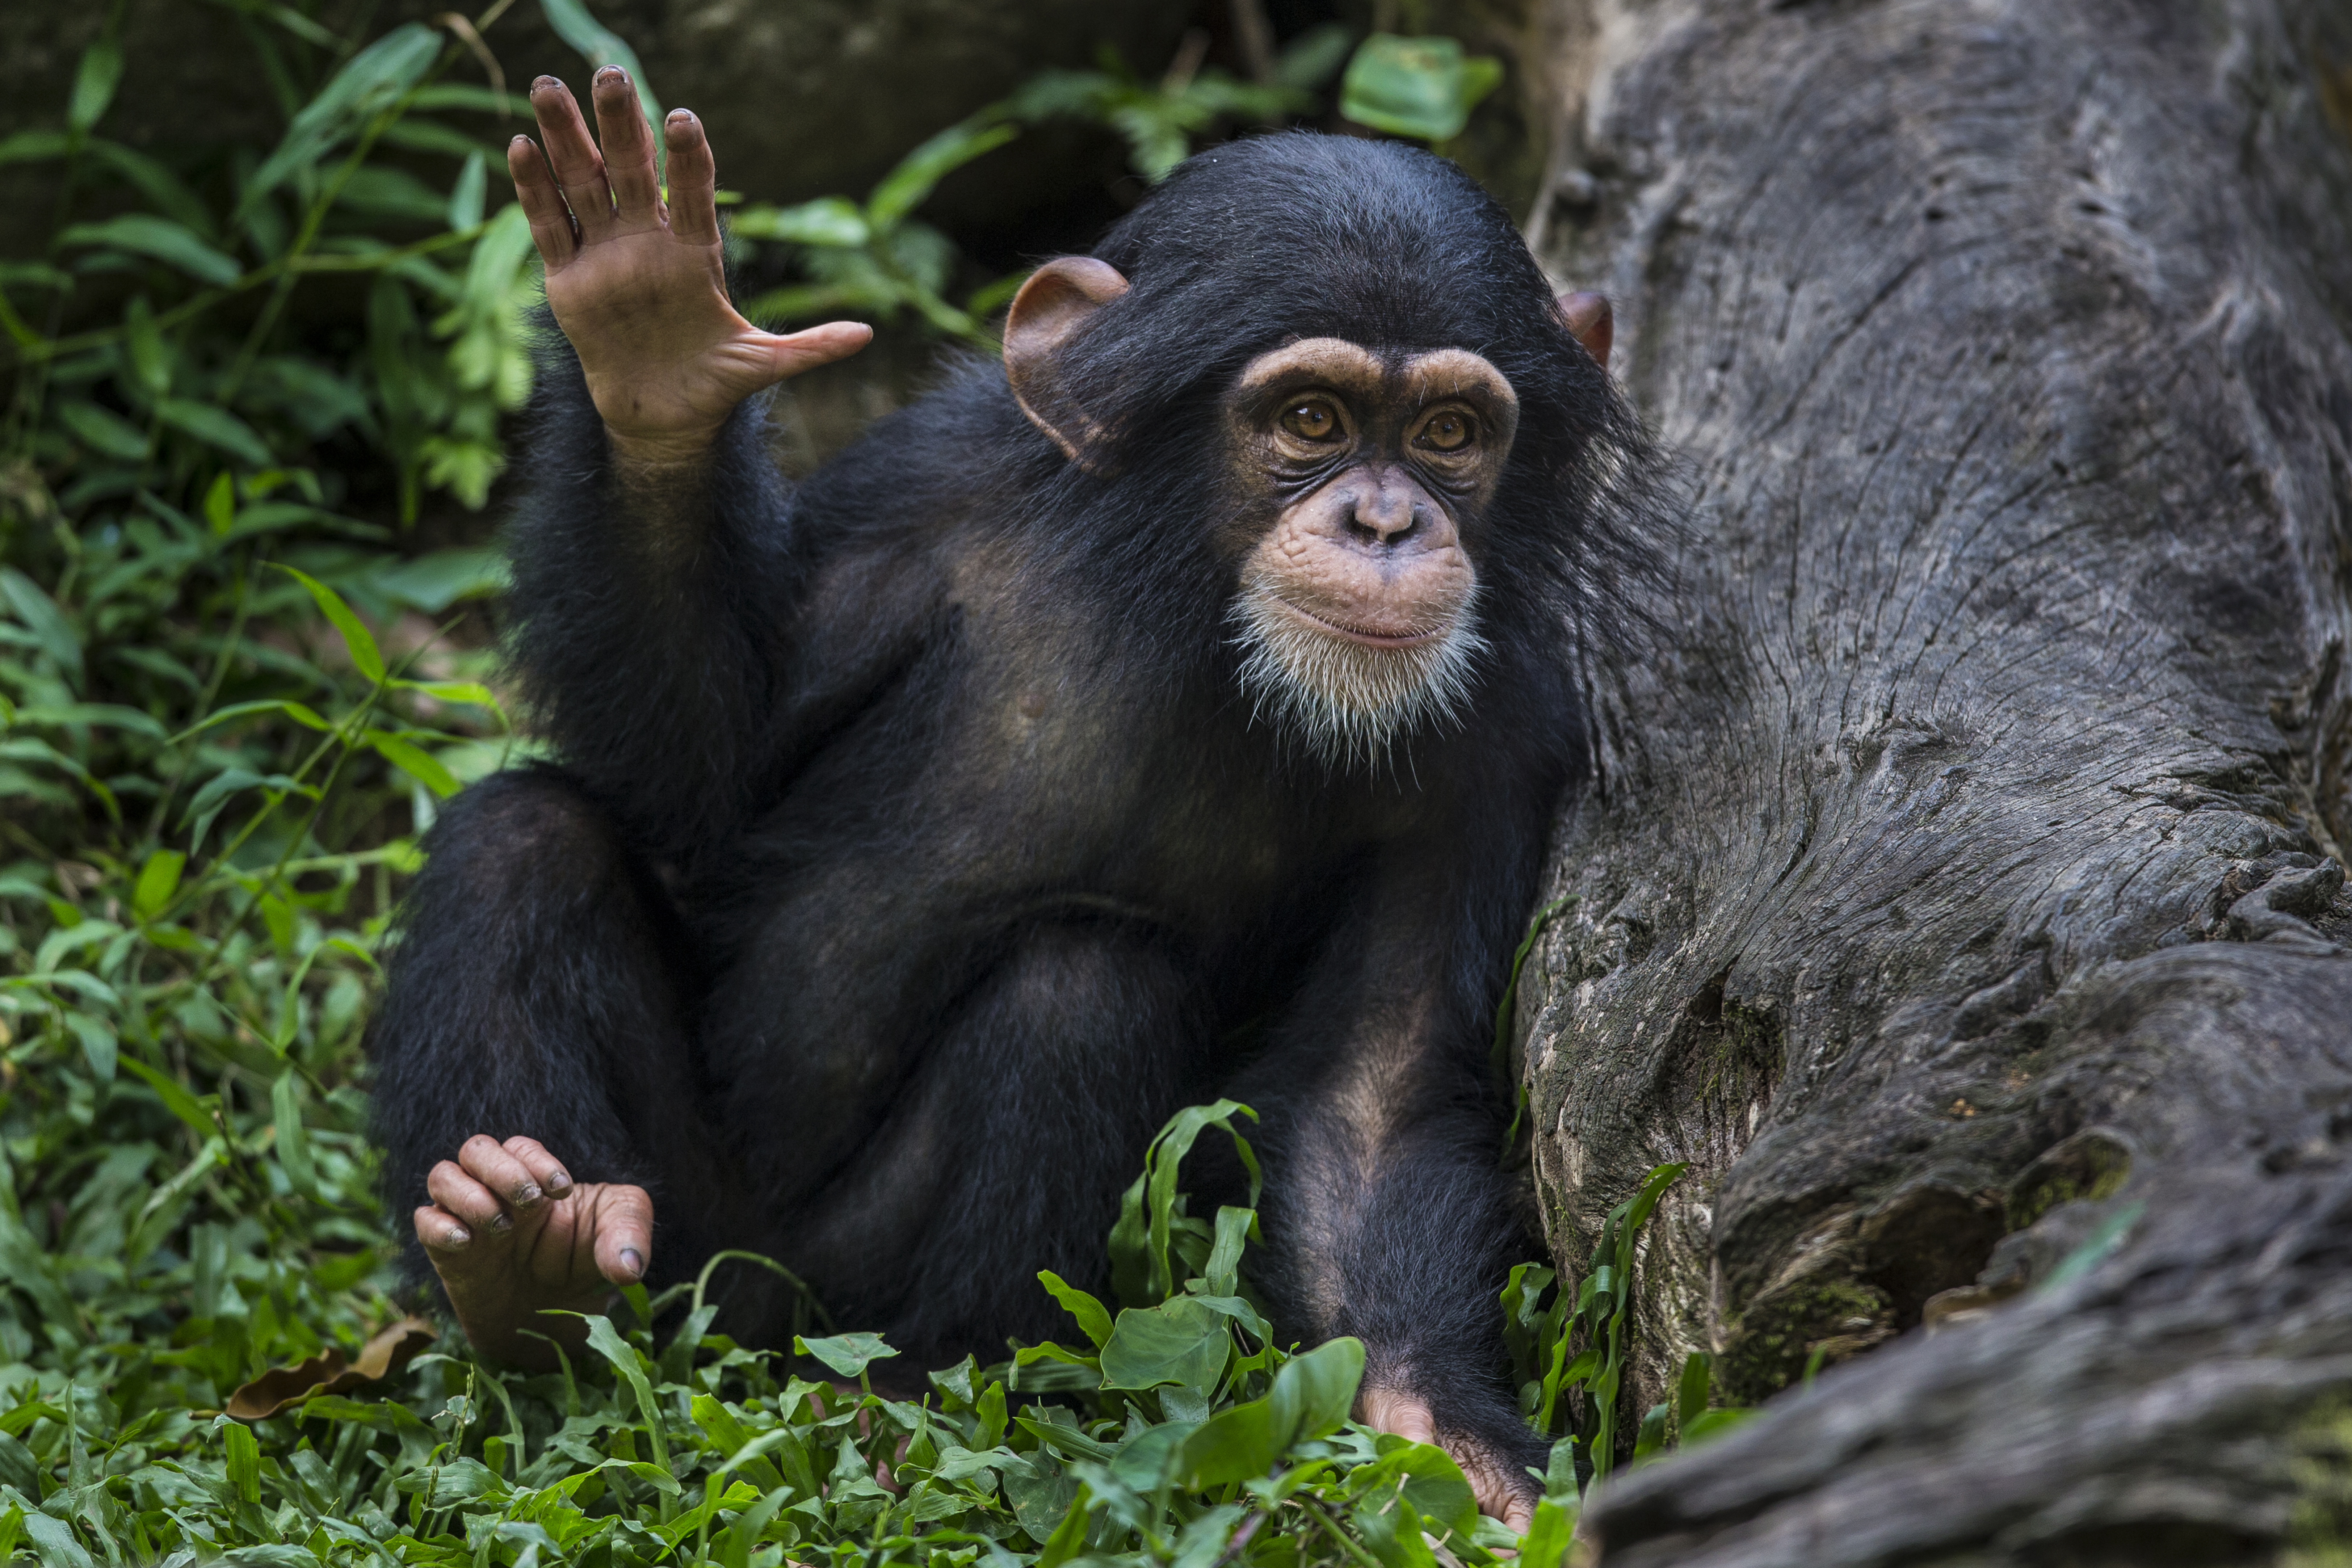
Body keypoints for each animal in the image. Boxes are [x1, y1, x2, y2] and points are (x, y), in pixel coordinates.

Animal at [365, 65, 1658, 1526]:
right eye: (1311, 421)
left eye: (1449, 433)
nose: (1385, 523)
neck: (1195, 613)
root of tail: (758, 1301)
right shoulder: (920, 498)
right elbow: (696, 774)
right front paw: (650, 353)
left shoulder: (1498, 734)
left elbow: (1369, 1087)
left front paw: (1445, 1442)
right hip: (684, 1223)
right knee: (518, 840)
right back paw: (530, 1273)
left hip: (834, 1274)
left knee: (1079, 988)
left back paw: (921, 1385)